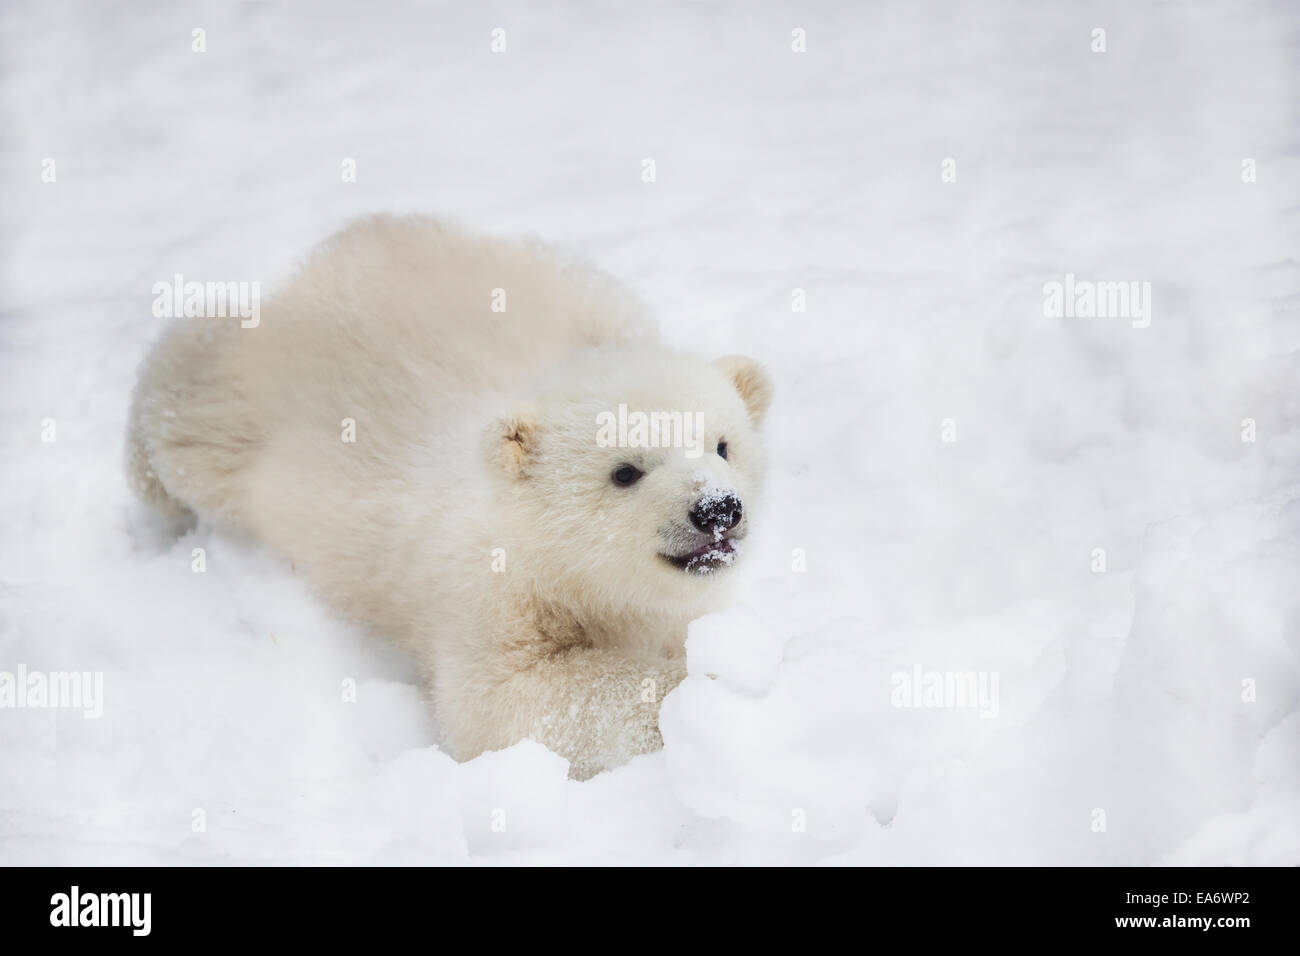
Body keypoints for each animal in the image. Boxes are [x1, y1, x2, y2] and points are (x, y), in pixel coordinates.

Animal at [127, 215, 772, 780]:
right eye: (625, 471)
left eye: (721, 445)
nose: (717, 509)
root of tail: (360, 237)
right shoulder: (486, 597)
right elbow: (508, 704)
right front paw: (703, 694)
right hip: (254, 406)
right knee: (189, 400)